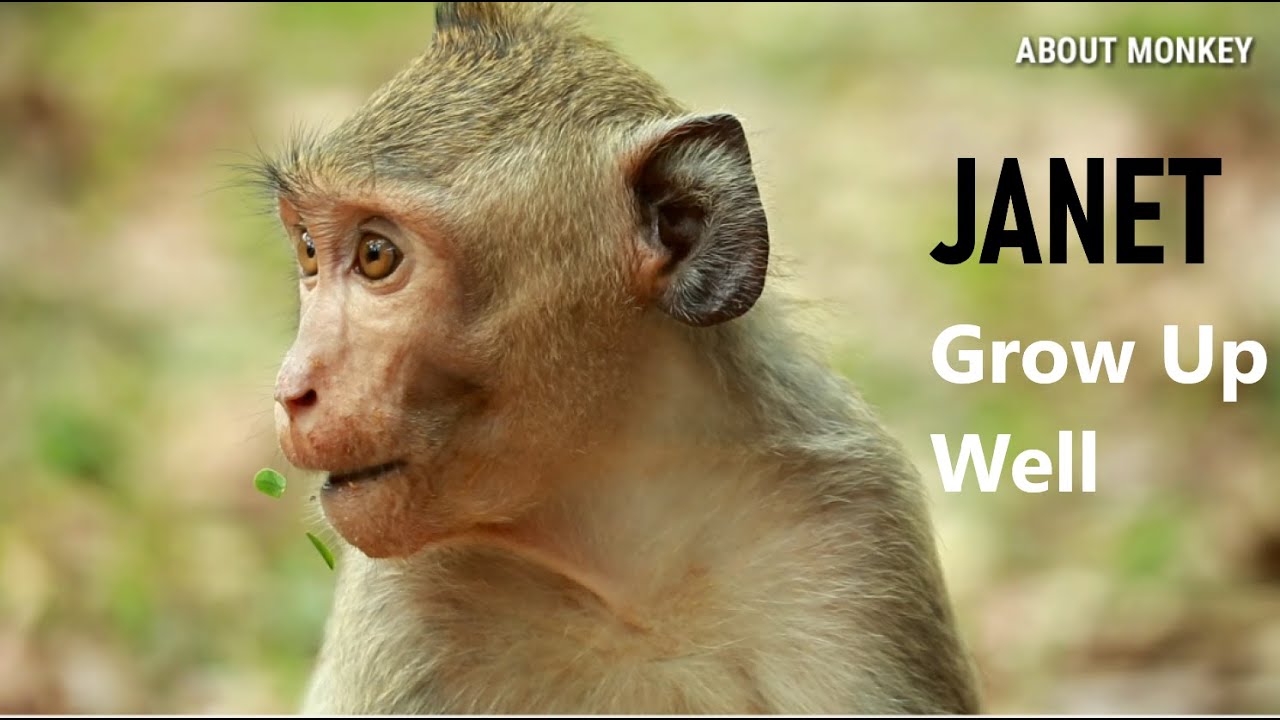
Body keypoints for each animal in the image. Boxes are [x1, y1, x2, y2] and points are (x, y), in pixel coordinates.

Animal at [259, 2, 980, 714]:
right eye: (309, 252)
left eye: (376, 256)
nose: (291, 390)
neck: (628, 556)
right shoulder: (404, 606)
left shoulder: (855, 533)